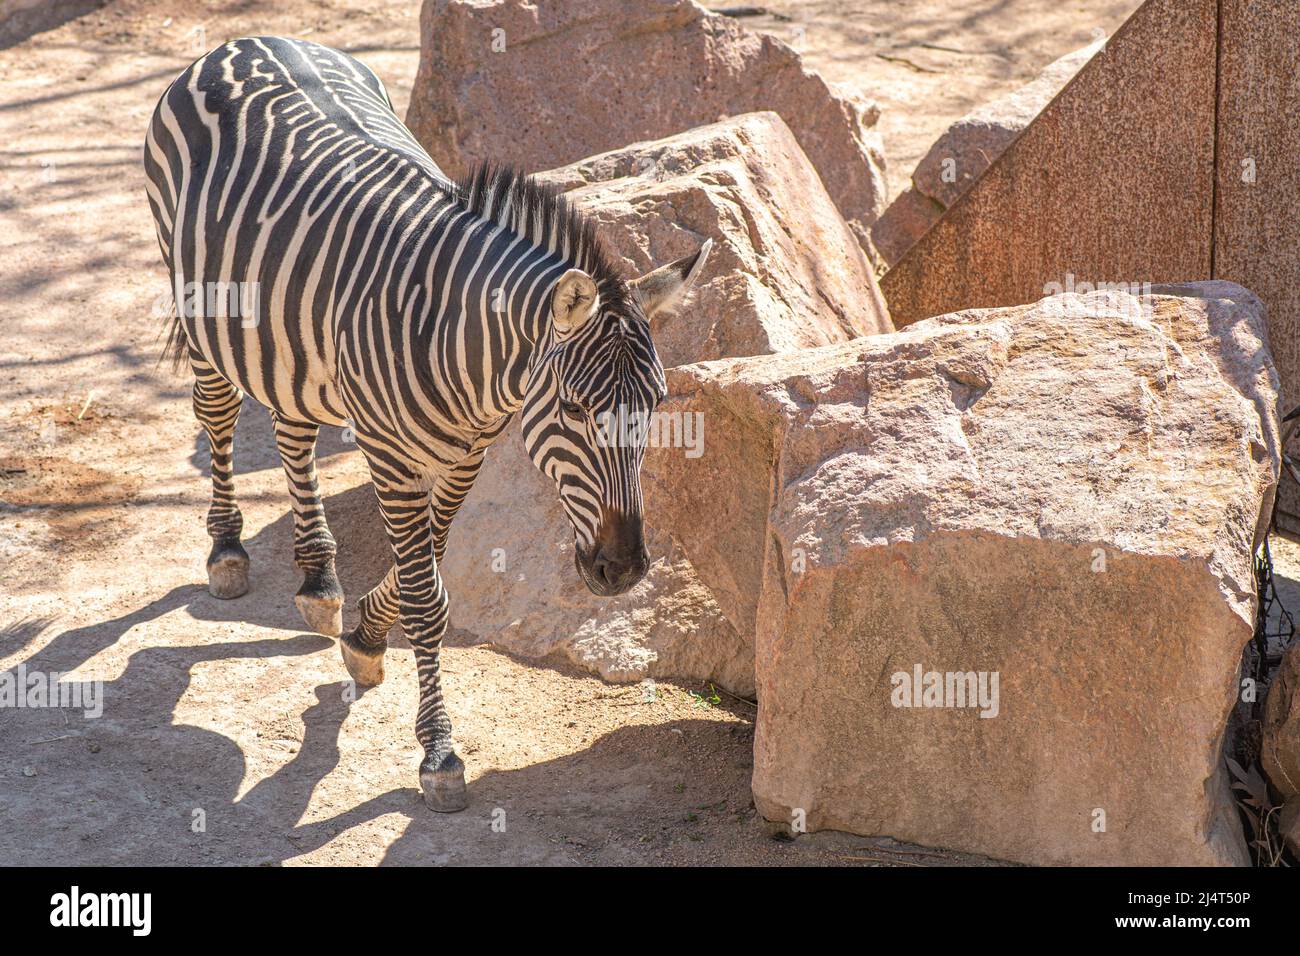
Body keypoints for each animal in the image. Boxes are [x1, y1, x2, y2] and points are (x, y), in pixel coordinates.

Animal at [143, 36, 710, 811]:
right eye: (573, 408)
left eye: (655, 403)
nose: (621, 570)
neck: (465, 344)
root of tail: (248, 41)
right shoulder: (389, 451)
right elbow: (426, 595)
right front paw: (439, 753)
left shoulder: (466, 451)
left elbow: (430, 564)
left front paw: (365, 637)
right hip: (201, 308)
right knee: (219, 413)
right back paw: (228, 551)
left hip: (296, 342)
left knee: (293, 429)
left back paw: (318, 582)